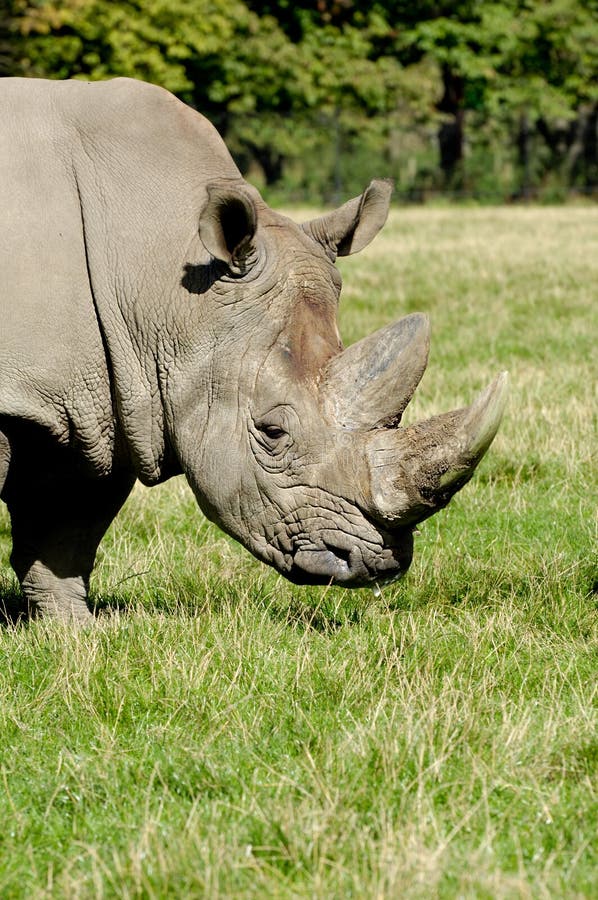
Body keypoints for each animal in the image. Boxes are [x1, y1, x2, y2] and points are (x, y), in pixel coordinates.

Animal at [0, 77, 507, 622]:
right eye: (273, 432)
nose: (379, 562)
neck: (162, 279)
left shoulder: (112, 392)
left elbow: (68, 521)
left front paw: (74, 631)